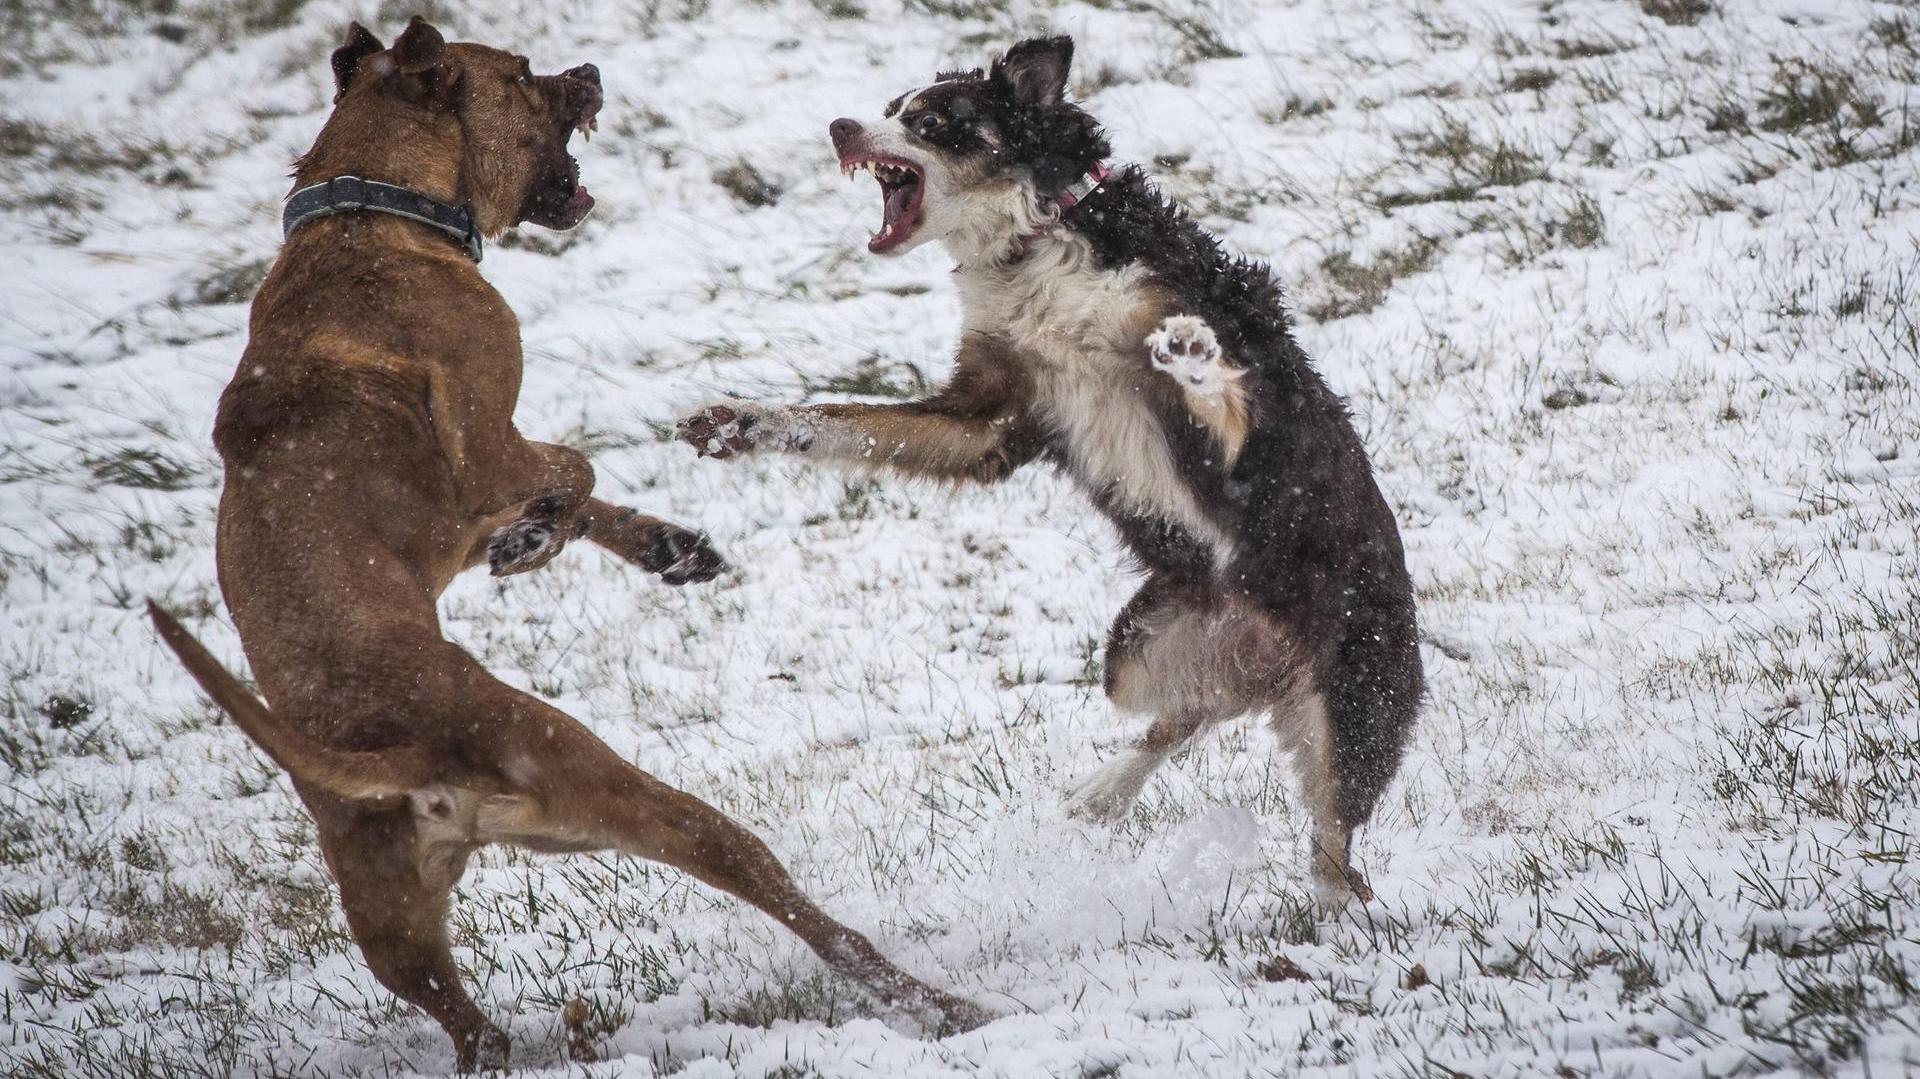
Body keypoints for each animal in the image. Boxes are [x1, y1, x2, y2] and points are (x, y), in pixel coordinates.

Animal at [149, 18, 990, 1067]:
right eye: (520, 74)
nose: (587, 71)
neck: (365, 211)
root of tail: (406, 762)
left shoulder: (468, 511)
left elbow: (572, 496)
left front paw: (657, 545)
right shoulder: (485, 445)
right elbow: (575, 469)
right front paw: (543, 535)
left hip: (395, 920)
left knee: (469, 1026)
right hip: (613, 788)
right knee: (769, 879)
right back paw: (939, 1003)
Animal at [683, 35, 1420, 898]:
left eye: (933, 119)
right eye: (891, 105)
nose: (840, 127)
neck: (1036, 241)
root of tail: (1278, 661)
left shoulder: (1225, 370)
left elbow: (1223, 391)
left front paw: (1192, 354)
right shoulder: (993, 418)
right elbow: (843, 423)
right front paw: (744, 421)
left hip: (1355, 708)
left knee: (1333, 845)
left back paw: (1331, 908)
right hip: (1140, 652)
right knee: (1188, 715)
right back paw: (1106, 791)